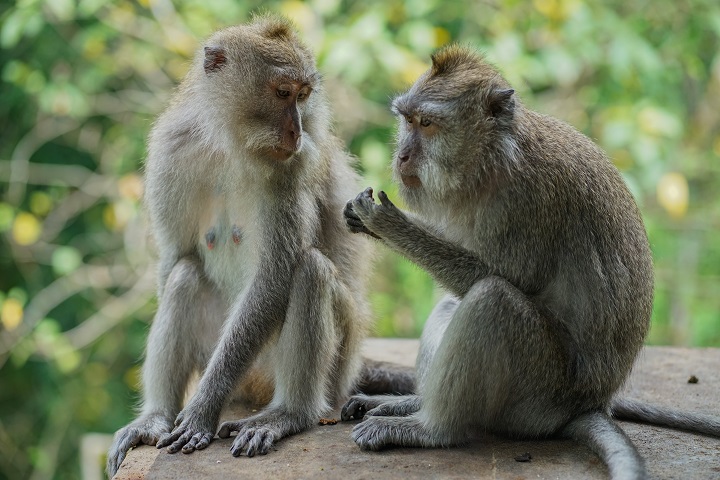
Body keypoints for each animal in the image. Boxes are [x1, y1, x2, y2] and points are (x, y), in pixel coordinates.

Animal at [106, 15, 414, 478]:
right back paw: (156, 417)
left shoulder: (290, 169)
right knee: (184, 276)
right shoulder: (171, 151)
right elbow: (176, 255)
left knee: (309, 270)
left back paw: (289, 413)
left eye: (303, 96)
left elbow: (274, 276)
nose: (297, 130)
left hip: (334, 366)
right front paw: (174, 410)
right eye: (283, 93)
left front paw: (202, 408)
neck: (230, 145)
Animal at [340, 45, 720, 480]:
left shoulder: (528, 202)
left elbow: (504, 279)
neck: (494, 161)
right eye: (407, 120)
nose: (402, 155)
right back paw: (409, 405)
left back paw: (432, 428)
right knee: (455, 303)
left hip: (537, 396)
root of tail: (588, 405)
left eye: (428, 123)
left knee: (492, 299)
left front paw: (388, 223)